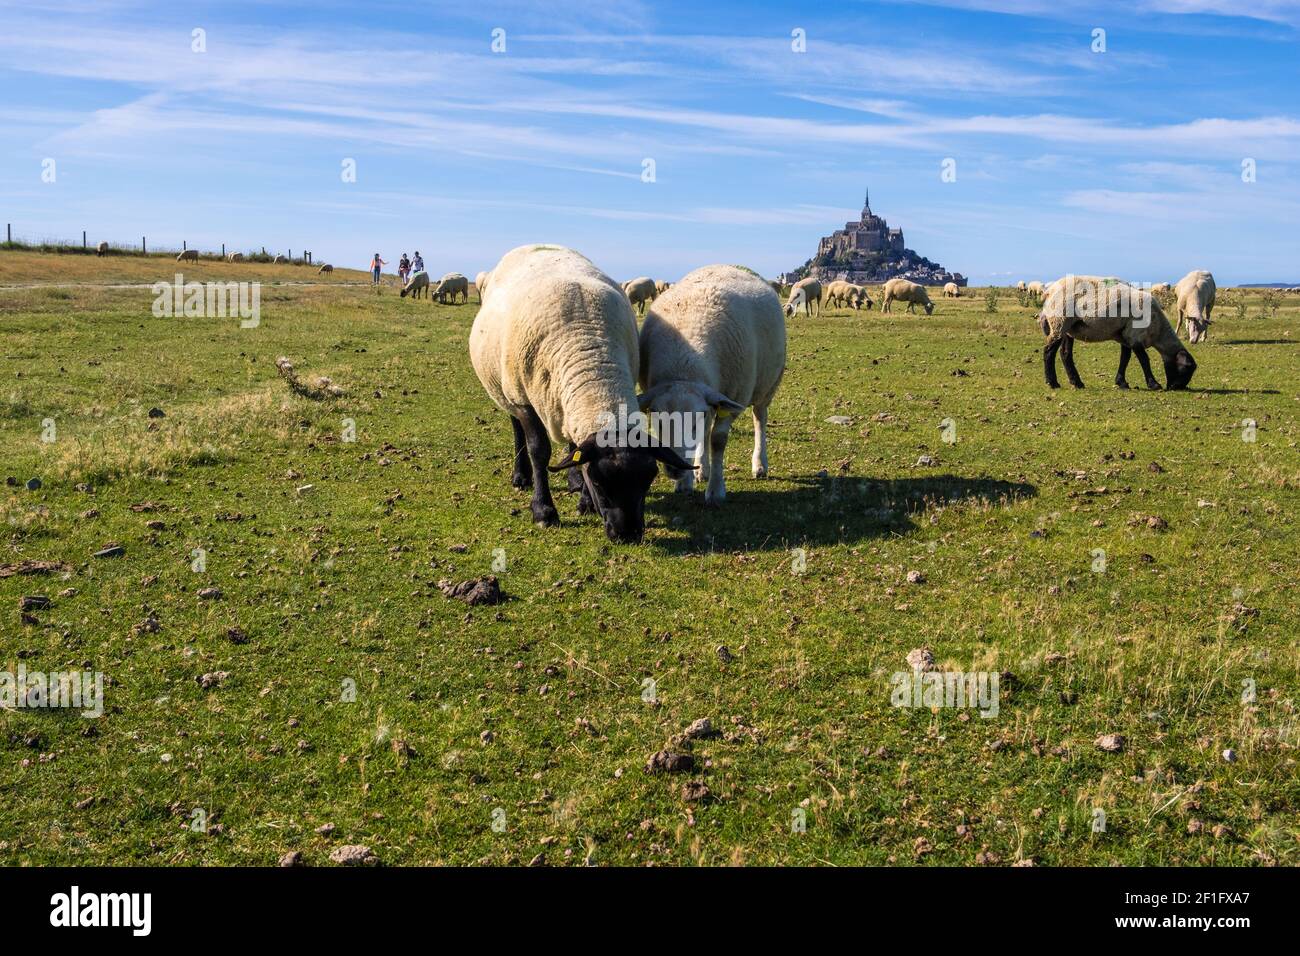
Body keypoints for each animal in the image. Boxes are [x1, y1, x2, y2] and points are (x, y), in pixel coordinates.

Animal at [468, 244, 691, 542]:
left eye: (649, 478)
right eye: (598, 481)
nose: (628, 535)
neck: (590, 353)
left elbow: (579, 447)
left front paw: (583, 498)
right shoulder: (525, 401)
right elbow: (539, 450)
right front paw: (544, 511)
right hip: (506, 389)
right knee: (517, 428)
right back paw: (521, 476)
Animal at [638, 265, 786, 505]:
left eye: (692, 424)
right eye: (658, 422)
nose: (674, 470)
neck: (683, 369)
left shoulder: (735, 396)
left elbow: (717, 440)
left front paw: (716, 491)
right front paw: (685, 482)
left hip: (767, 385)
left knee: (760, 418)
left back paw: (759, 464)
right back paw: (702, 469)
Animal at [1039, 275, 1196, 391]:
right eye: (1186, 369)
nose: (1176, 388)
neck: (1158, 331)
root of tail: (1049, 291)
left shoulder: (1125, 336)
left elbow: (1124, 359)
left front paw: (1122, 382)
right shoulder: (1135, 334)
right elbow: (1144, 359)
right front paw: (1154, 384)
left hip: (1069, 328)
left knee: (1065, 353)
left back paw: (1077, 383)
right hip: (1059, 321)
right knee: (1048, 351)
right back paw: (1052, 383)